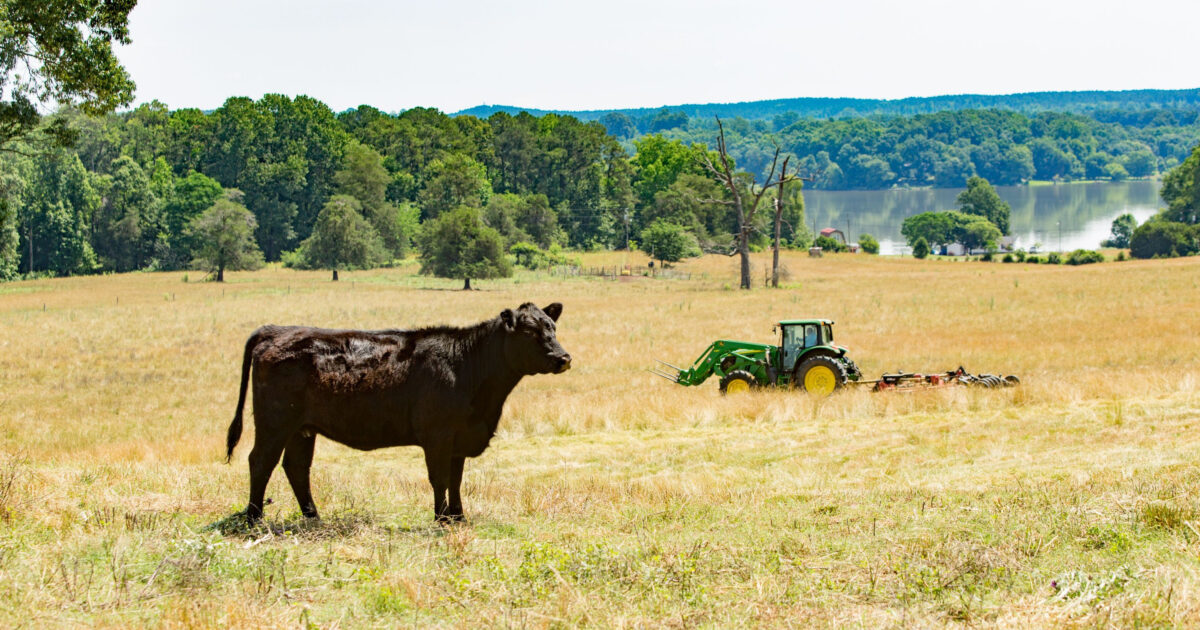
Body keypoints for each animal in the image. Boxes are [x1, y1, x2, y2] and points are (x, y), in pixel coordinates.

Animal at [224, 302, 571, 523]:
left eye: (553, 327)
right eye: (529, 332)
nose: (564, 358)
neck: (467, 365)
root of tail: (276, 330)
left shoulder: (459, 437)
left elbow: (456, 479)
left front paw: (459, 517)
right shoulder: (437, 435)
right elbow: (439, 478)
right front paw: (441, 518)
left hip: (302, 428)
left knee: (296, 467)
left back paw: (313, 517)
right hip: (275, 423)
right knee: (261, 461)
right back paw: (254, 517)